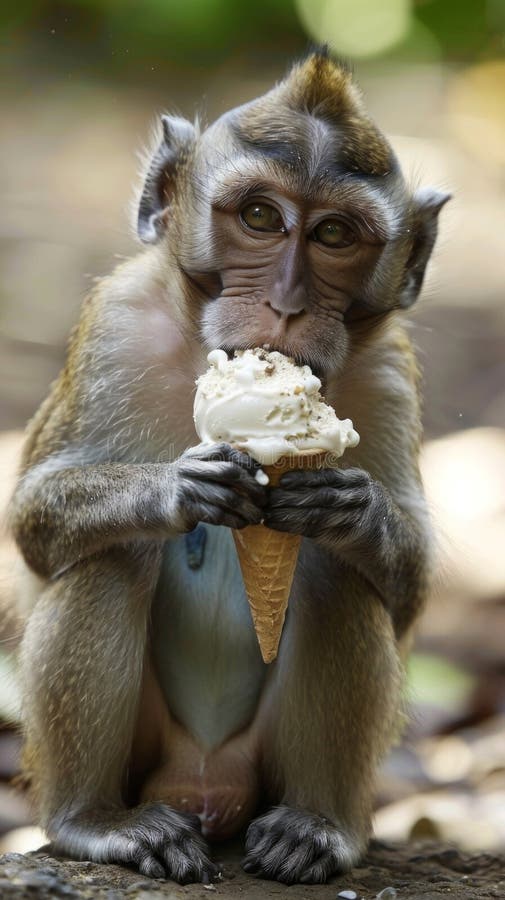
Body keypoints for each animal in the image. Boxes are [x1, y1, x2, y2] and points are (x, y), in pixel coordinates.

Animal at [9, 51, 449, 885]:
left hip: (260, 766)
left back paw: (316, 828)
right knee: (105, 560)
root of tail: (202, 785)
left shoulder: (390, 373)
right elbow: (33, 525)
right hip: (151, 758)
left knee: (338, 579)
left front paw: (354, 510)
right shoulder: (115, 324)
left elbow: (405, 593)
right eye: (259, 219)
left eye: (334, 234)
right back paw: (97, 822)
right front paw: (171, 489)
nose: (284, 304)